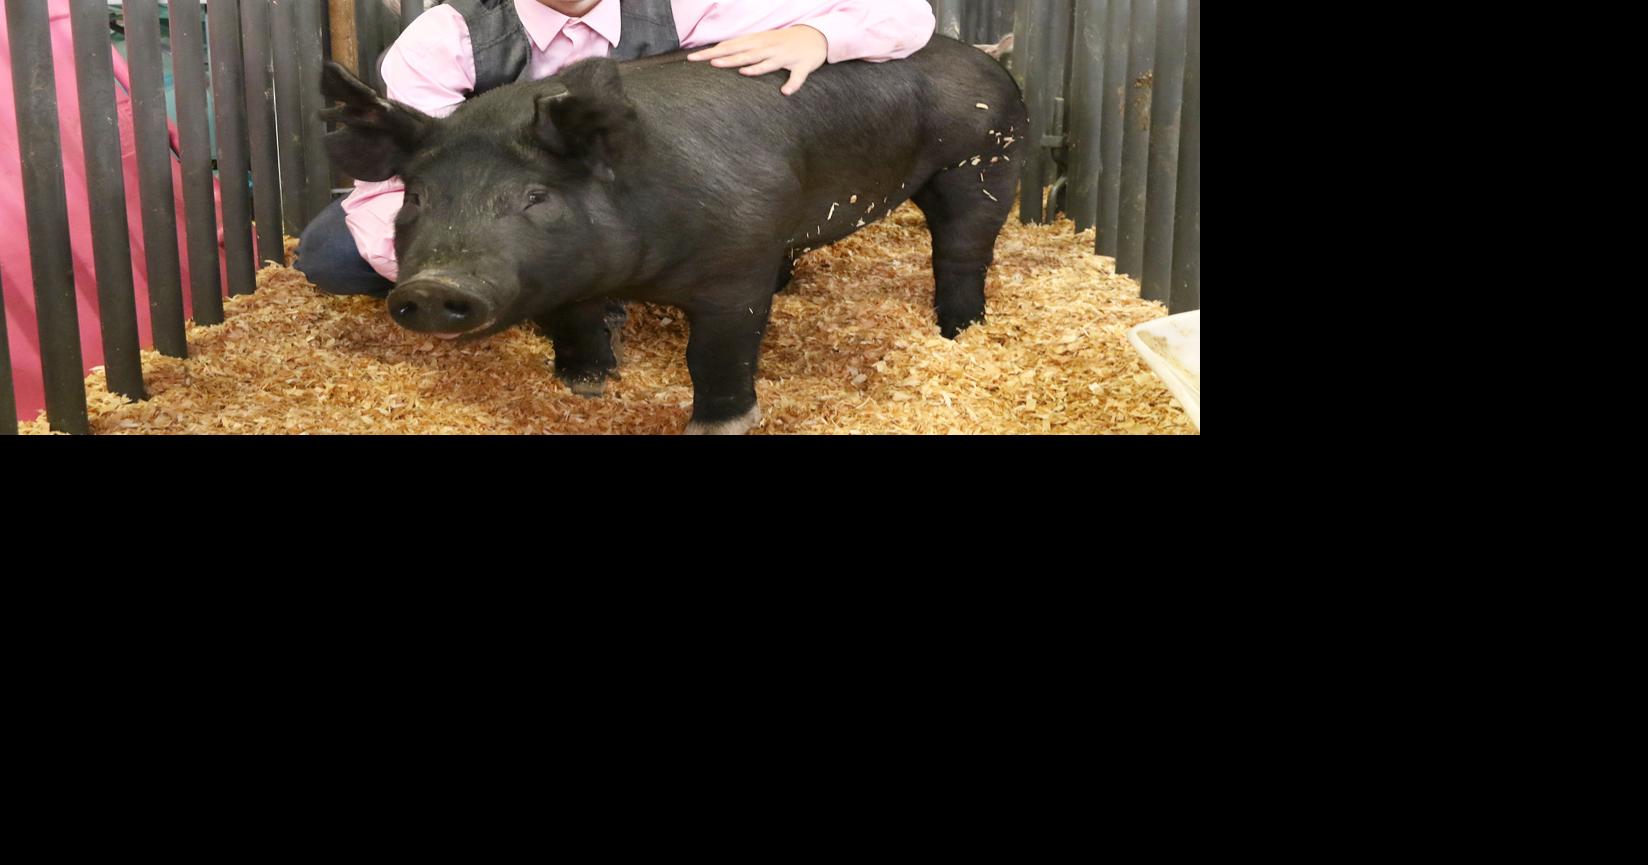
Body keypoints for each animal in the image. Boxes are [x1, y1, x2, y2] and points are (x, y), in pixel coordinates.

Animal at [319, 36, 1028, 434]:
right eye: (416, 196)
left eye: (535, 197)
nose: (432, 287)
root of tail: (985, 55)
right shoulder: (567, 280)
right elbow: (574, 324)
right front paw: (587, 386)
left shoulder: (736, 268)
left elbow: (716, 352)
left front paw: (721, 425)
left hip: (985, 158)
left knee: (963, 248)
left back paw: (959, 332)